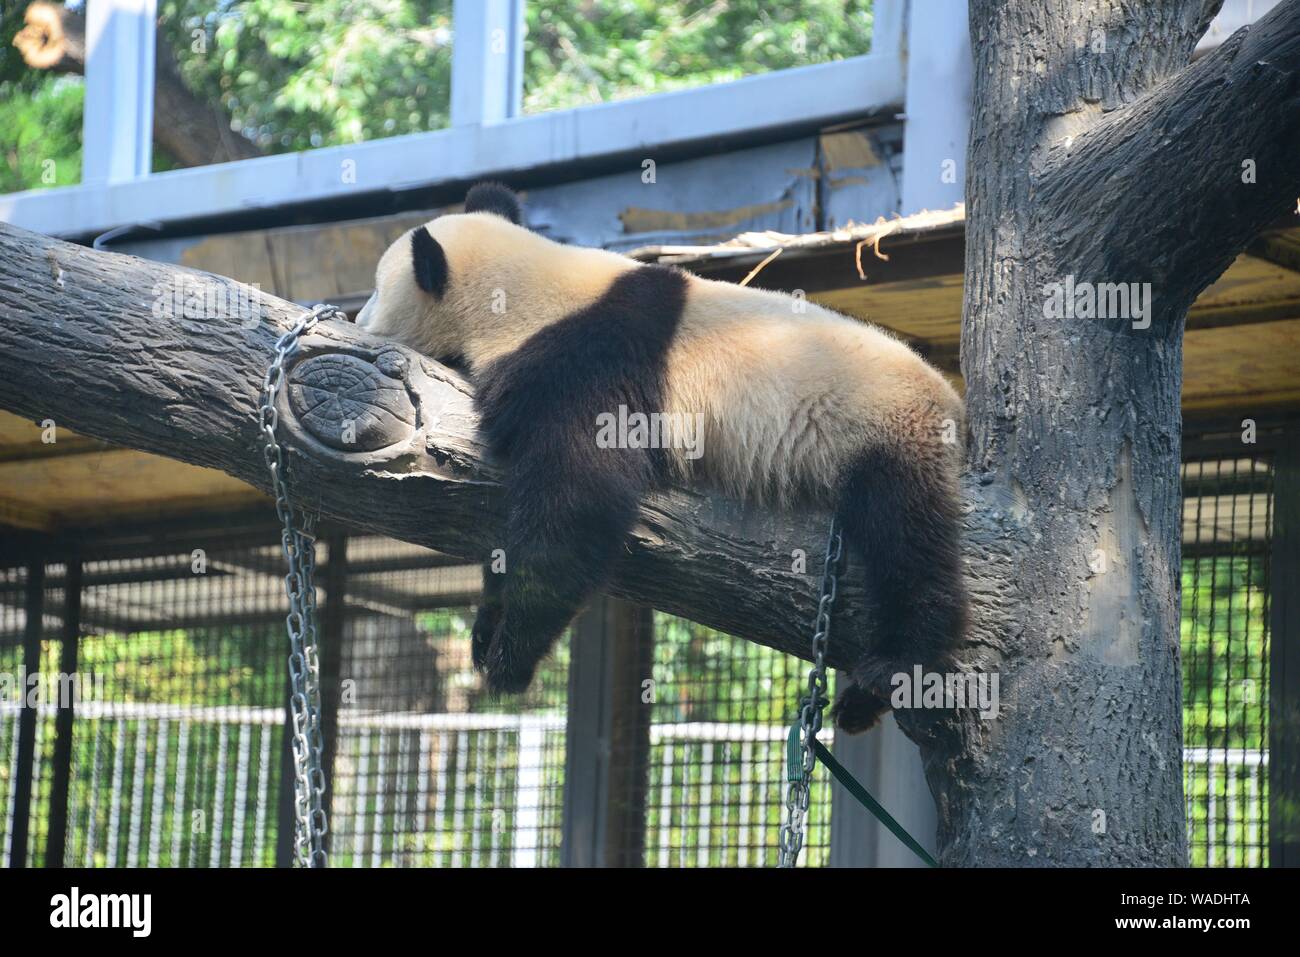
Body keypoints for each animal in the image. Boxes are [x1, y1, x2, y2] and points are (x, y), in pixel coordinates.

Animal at [356, 182, 967, 731]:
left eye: (375, 291)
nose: (357, 318)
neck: (523, 289)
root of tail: (956, 405)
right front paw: (488, 626)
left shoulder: (593, 362)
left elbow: (581, 501)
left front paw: (510, 654)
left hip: (886, 431)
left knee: (907, 541)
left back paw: (889, 672)